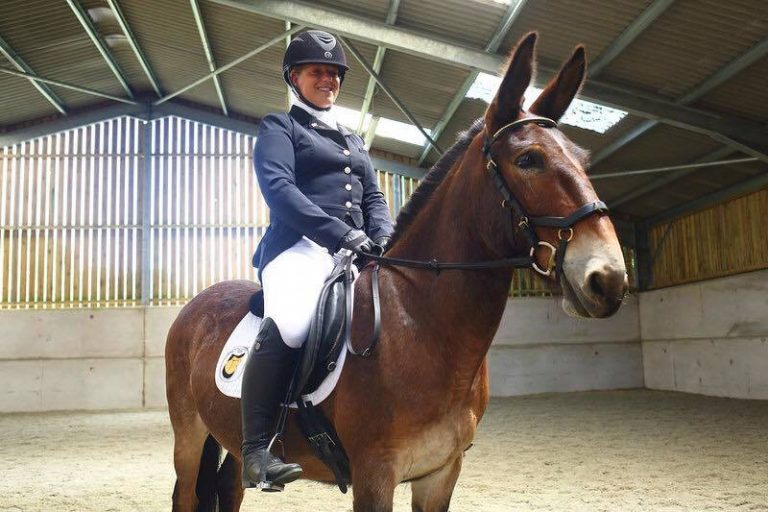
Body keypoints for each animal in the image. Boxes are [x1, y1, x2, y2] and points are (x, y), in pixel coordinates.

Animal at [165, 32, 628, 512]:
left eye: (583, 158)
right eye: (528, 159)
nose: (608, 278)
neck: (421, 325)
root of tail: (195, 305)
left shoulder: (440, 472)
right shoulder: (375, 474)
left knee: (228, 486)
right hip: (189, 432)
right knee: (188, 492)